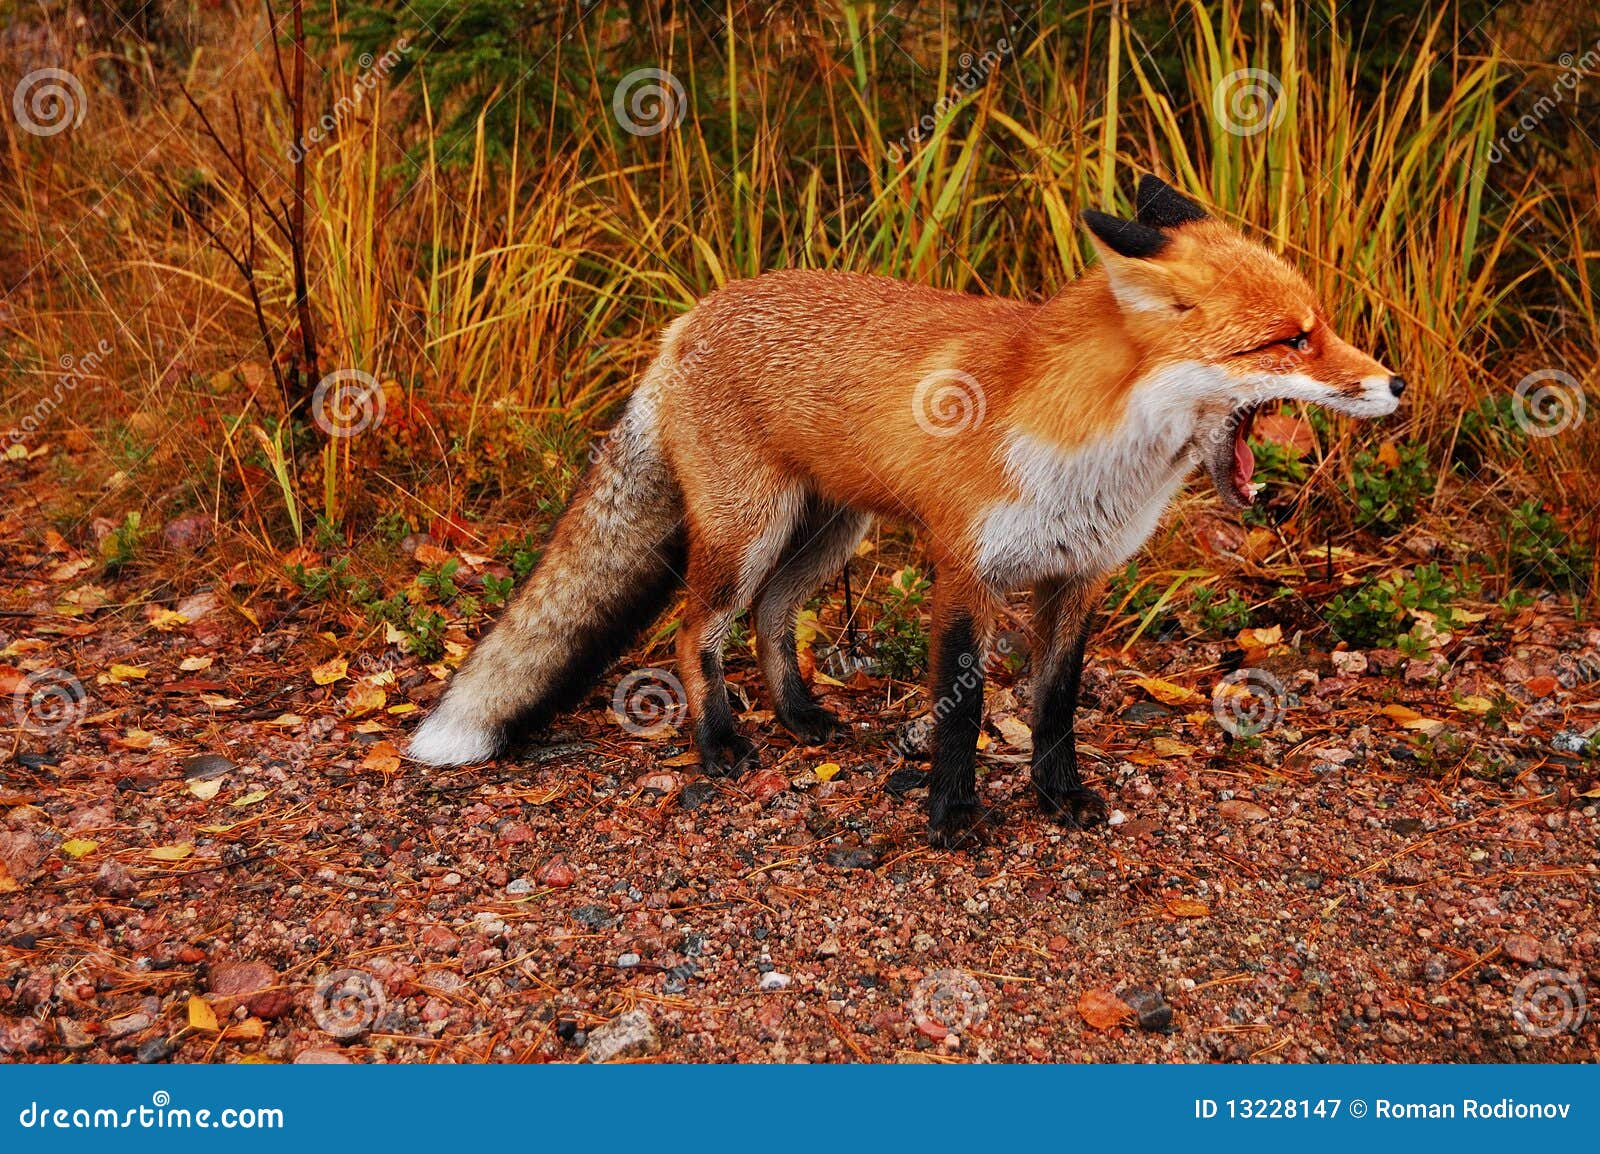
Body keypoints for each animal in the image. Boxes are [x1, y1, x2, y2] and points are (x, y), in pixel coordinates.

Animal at [408, 174, 1403, 846]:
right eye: (1290, 340)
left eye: (1320, 325)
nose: (1394, 383)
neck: (1092, 449)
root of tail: (691, 317)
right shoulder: (965, 568)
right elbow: (962, 707)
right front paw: (953, 812)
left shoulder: (1079, 577)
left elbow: (1054, 704)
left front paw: (1057, 796)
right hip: (747, 533)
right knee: (696, 633)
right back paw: (720, 741)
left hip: (827, 533)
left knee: (771, 616)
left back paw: (800, 715)